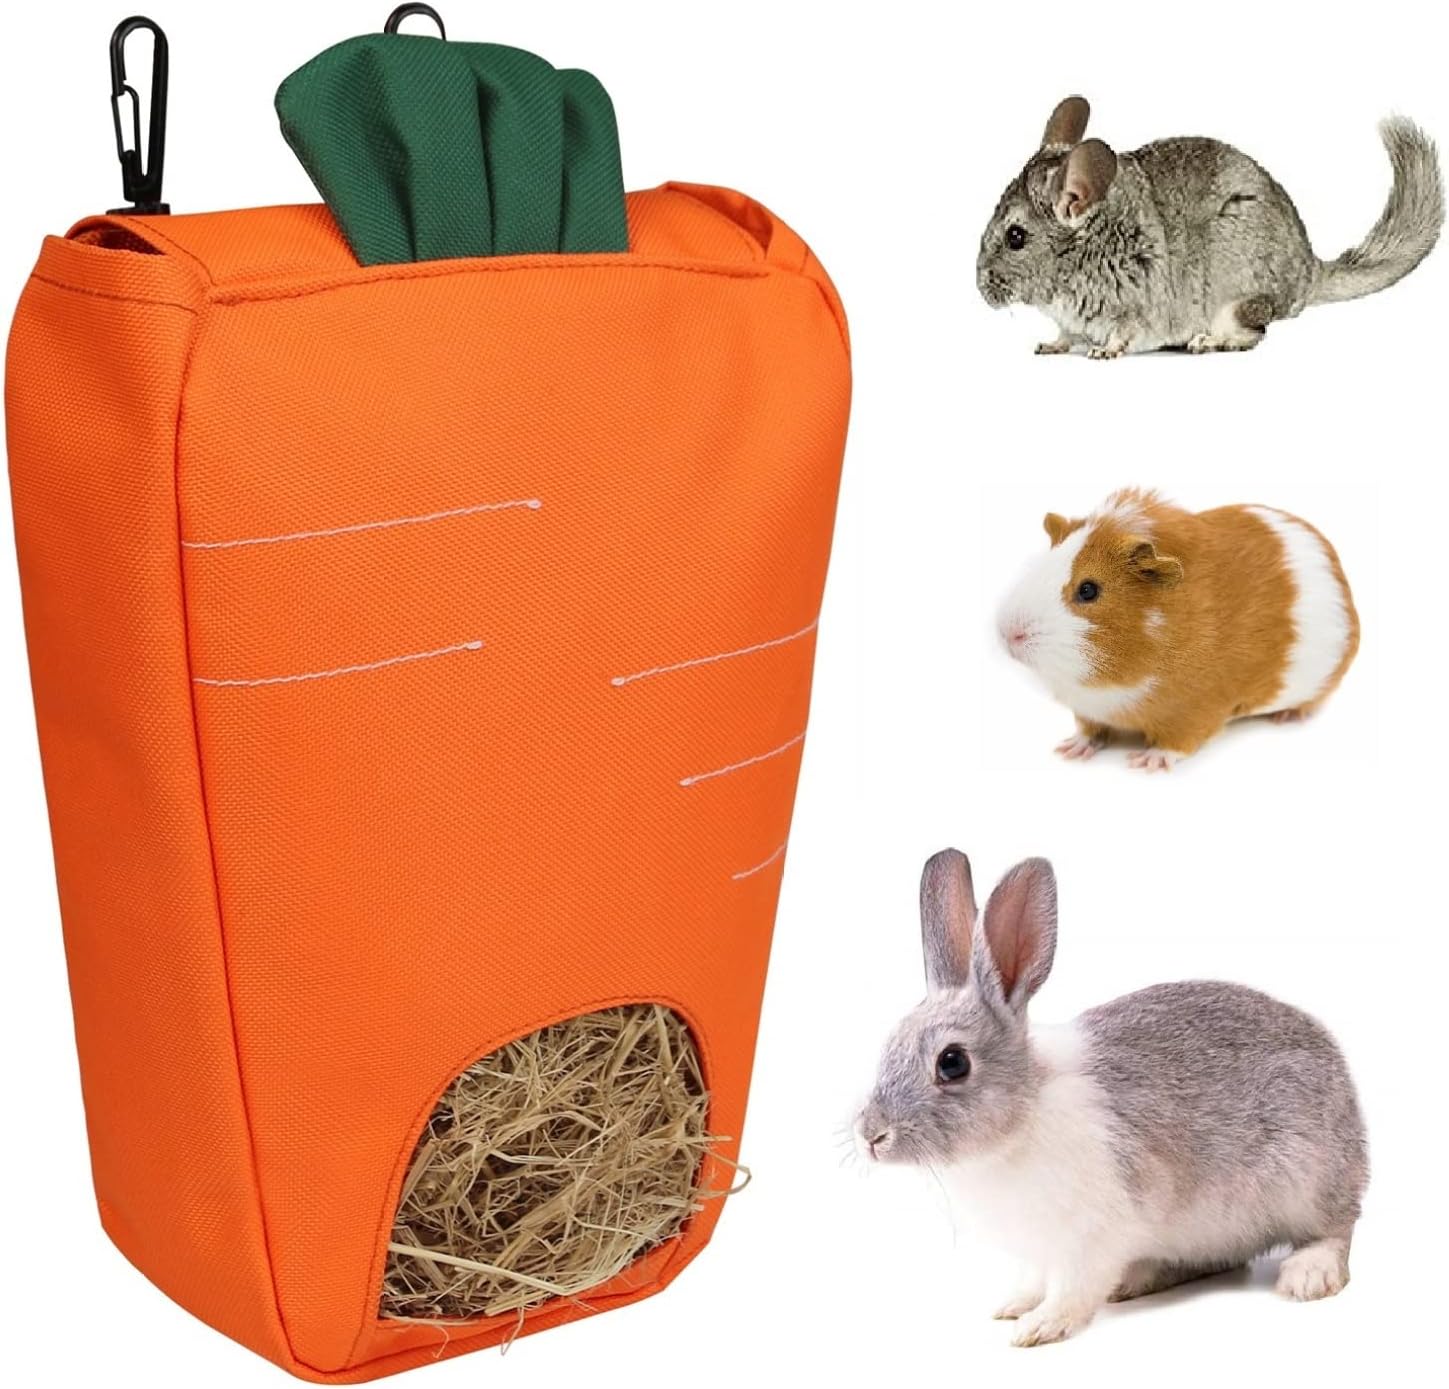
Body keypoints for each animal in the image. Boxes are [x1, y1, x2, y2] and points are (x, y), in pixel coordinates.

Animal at [856, 850, 1368, 1347]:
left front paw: (1040, 1327)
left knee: (1337, 1230)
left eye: (952, 1062)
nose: (870, 1135)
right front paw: (1014, 1306)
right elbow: (1033, 1279)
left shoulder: (1090, 1237)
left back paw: (1308, 1275)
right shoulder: (1039, 1251)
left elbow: (1073, 1288)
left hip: (1307, 1181)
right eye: (888, 1045)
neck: (1024, 1112)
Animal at [976, 95, 1443, 357]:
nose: (981, 291)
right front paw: (1049, 346)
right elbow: (1064, 334)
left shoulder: (1137, 307)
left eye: (1015, 237)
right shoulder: (1069, 320)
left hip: (1235, 294)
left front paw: (1102, 353)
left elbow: (1122, 335)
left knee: (1255, 332)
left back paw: (1209, 342)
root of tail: (1309, 270)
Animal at [996, 488, 1359, 771]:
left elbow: (1178, 741)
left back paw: (1287, 717)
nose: (1009, 633)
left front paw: (1146, 762)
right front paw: (1070, 750)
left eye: (1088, 590)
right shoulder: (1088, 710)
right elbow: (1090, 730)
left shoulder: (1197, 709)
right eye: (1038, 566)